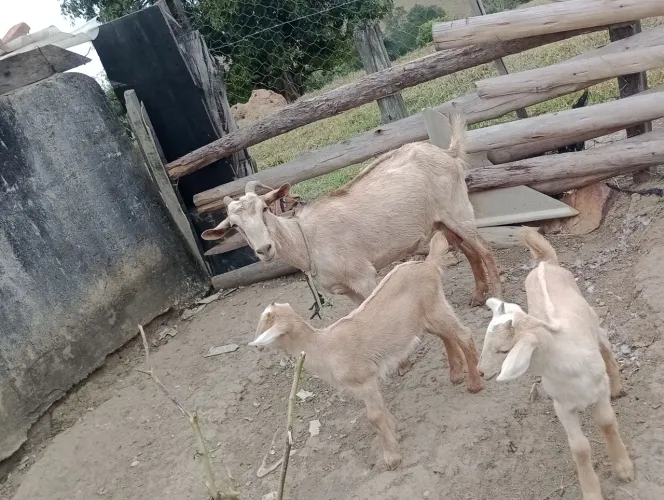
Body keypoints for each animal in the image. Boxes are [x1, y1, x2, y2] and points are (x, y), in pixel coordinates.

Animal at [201, 115, 502, 313]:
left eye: (264, 209)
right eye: (235, 226)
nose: (264, 249)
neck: (306, 239)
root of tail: (448, 153)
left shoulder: (364, 276)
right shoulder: (346, 289)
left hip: (458, 210)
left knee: (484, 248)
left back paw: (497, 296)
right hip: (441, 222)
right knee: (470, 251)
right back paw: (477, 296)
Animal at [248, 229, 483, 469]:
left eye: (266, 327)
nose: (256, 347)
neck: (325, 347)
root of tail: (429, 264)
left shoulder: (364, 379)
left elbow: (374, 416)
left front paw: (392, 457)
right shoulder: (364, 386)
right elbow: (380, 411)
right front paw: (395, 431)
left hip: (436, 308)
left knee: (464, 334)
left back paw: (474, 383)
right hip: (425, 317)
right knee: (447, 336)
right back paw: (456, 375)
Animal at [478, 228, 633, 500]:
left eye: (503, 350)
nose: (480, 372)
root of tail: (544, 263)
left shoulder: (599, 390)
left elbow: (606, 422)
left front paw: (623, 468)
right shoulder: (562, 406)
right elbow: (580, 448)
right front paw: (591, 491)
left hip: (591, 317)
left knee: (605, 342)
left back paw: (618, 386)